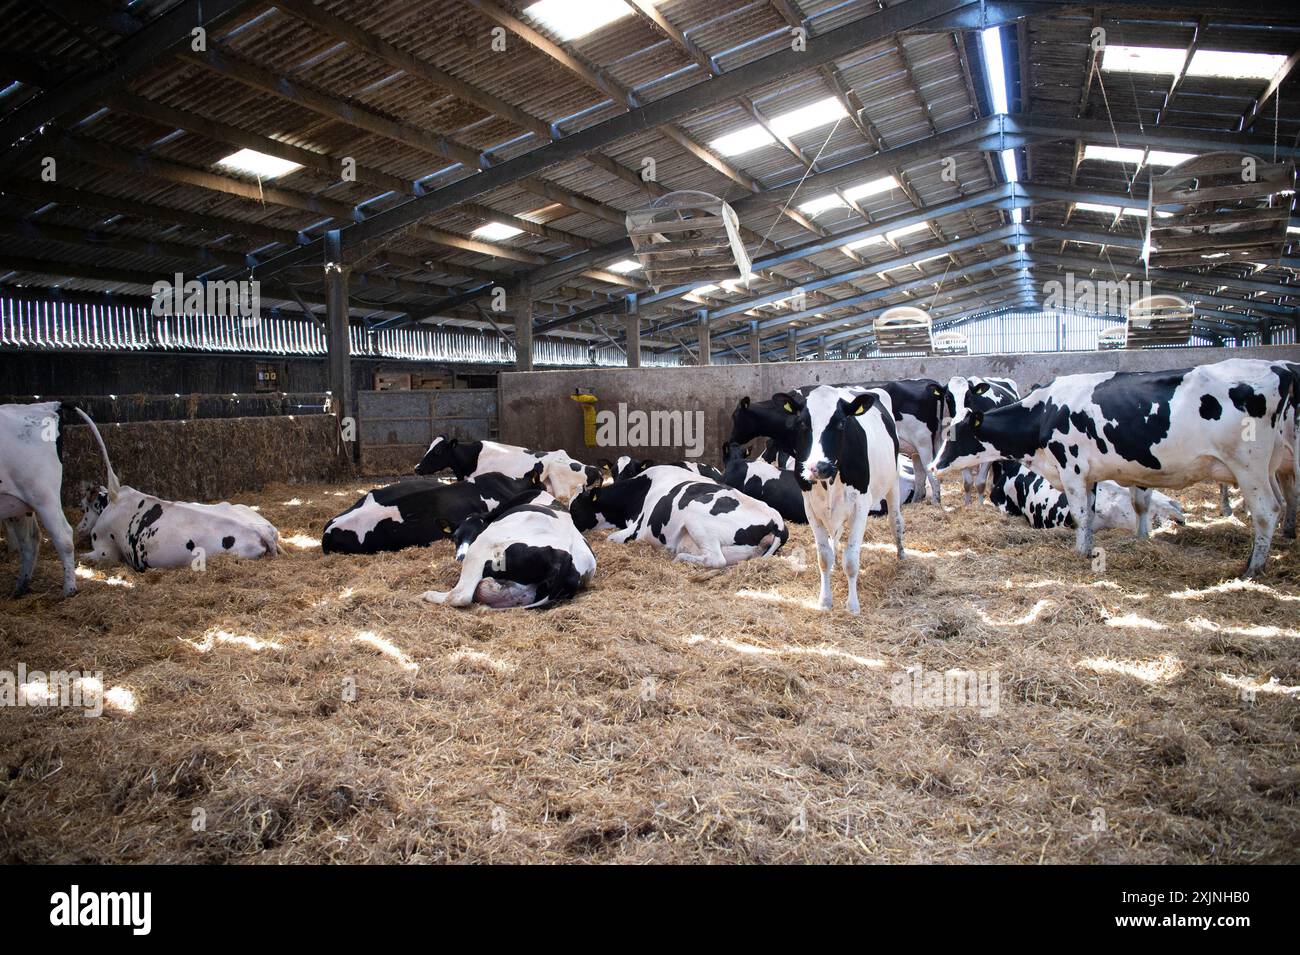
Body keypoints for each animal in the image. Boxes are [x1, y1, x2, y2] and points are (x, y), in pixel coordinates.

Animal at [2, 401, 116, 596]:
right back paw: (21, 587)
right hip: (20, 504)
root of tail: (51, 405)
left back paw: (69, 589)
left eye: (85, 507)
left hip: (42, 494)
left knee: (62, 537)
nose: (81, 527)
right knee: (30, 540)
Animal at [421, 491, 595, 609]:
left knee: (461, 596)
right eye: (455, 538)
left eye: (475, 533)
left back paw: (427, 595)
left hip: (483, 545)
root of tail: (564, 559)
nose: (460, 558)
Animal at [568, 465, 787, 567]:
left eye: (575, 510)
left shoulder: (635, 531)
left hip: (696, 517)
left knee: (716, 560)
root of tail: (776, 520)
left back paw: (679, 558)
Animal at [767, 385, 905, 613]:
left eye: (841, 423)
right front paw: (825, 600)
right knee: (836, 536)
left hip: (893, 482)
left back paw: (901, 555)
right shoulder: (810, 507)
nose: (818, 467)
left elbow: (851, 559)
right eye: (802, 423)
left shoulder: (861, 505)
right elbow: (824, 557)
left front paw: (852, 605)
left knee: (896, 522)